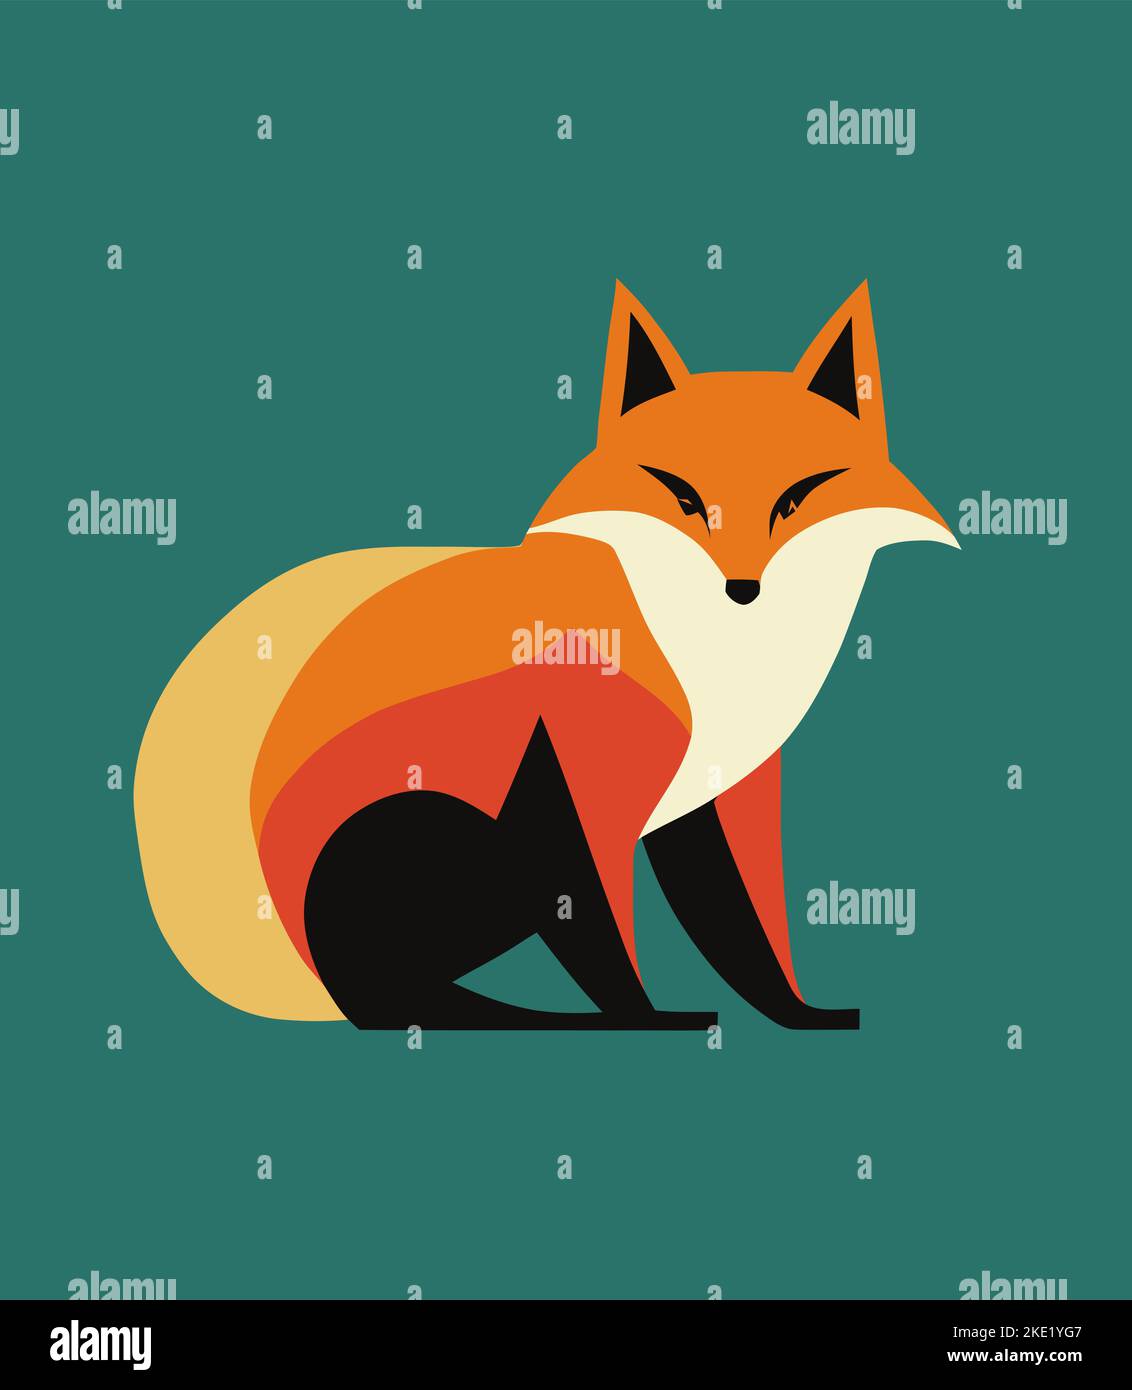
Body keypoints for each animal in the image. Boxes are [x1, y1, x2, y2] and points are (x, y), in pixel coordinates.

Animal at [134, 279, 958, 1031]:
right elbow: (606, 930)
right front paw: (647, 1020)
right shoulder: (570, 784)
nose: (743, 589)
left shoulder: (714, 799)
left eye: (797, 498)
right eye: (683, 498)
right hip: (447, 834)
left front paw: (795, 1014)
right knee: (389, 1001)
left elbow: (743, 929)